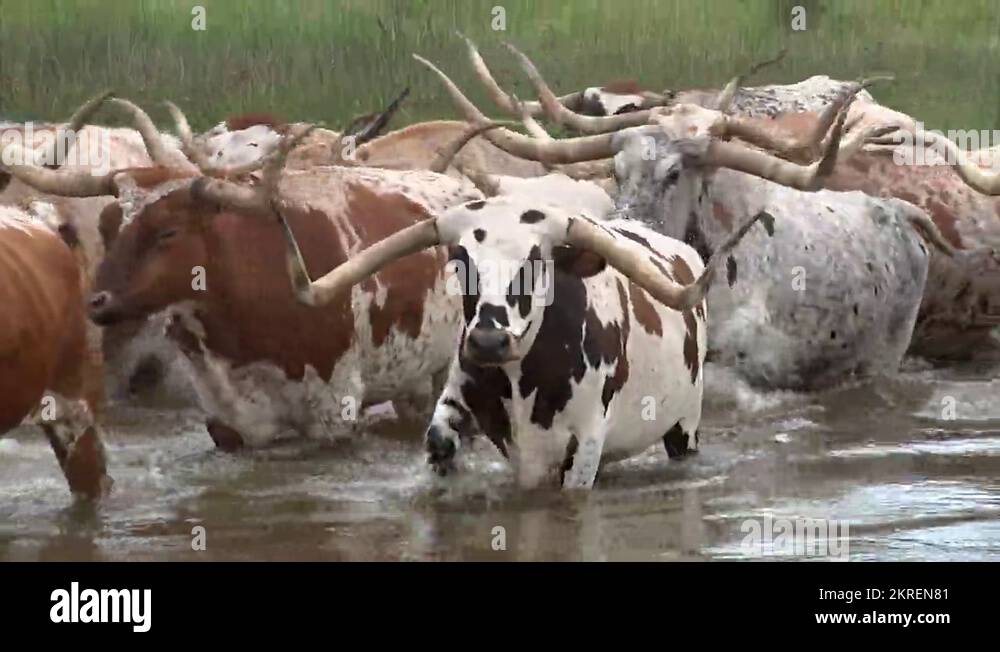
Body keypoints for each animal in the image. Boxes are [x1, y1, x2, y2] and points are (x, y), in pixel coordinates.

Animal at [275, 180, 769, 488]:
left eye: (536, 261)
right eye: (460, 259)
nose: (489, 341)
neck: (522, 375)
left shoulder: (585, 446)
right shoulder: (459, 403)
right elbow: (440, 441)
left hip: (685, 425)